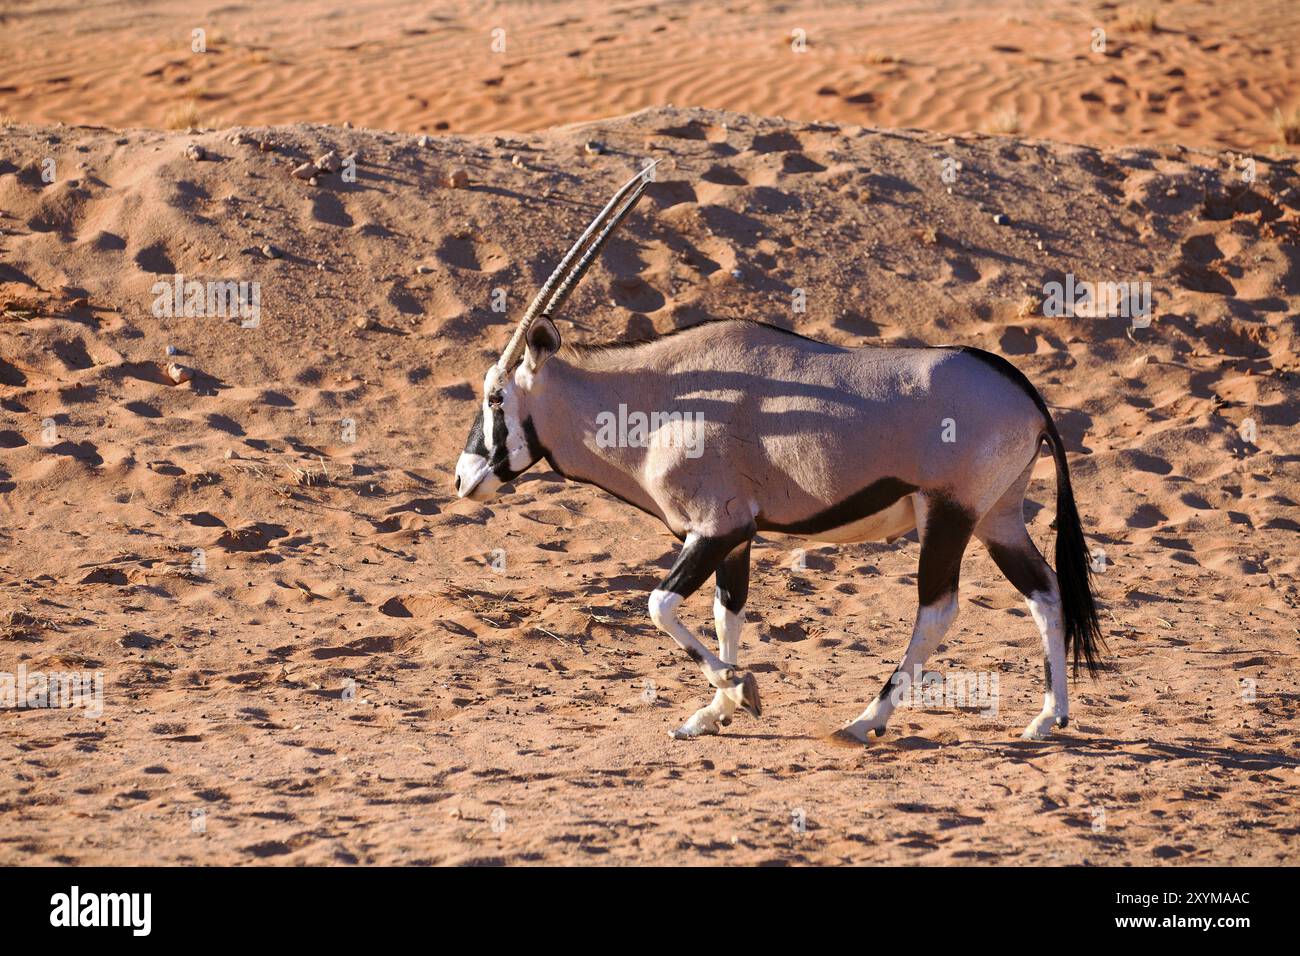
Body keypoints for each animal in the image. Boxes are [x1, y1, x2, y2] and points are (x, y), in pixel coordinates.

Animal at [454, 166, 1103, 742]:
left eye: (495, 397)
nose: (463, 479)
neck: (656, 398)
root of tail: (1024, 393)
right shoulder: (735, 536)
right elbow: (727, 614)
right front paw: (713, 712)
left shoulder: (715, 527)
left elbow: (659, 604)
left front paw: (741, 690)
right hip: (997, 517)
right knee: (1044, 590)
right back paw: (1049, 718)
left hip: (949, 515)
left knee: (938, 611)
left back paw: (866, 721)